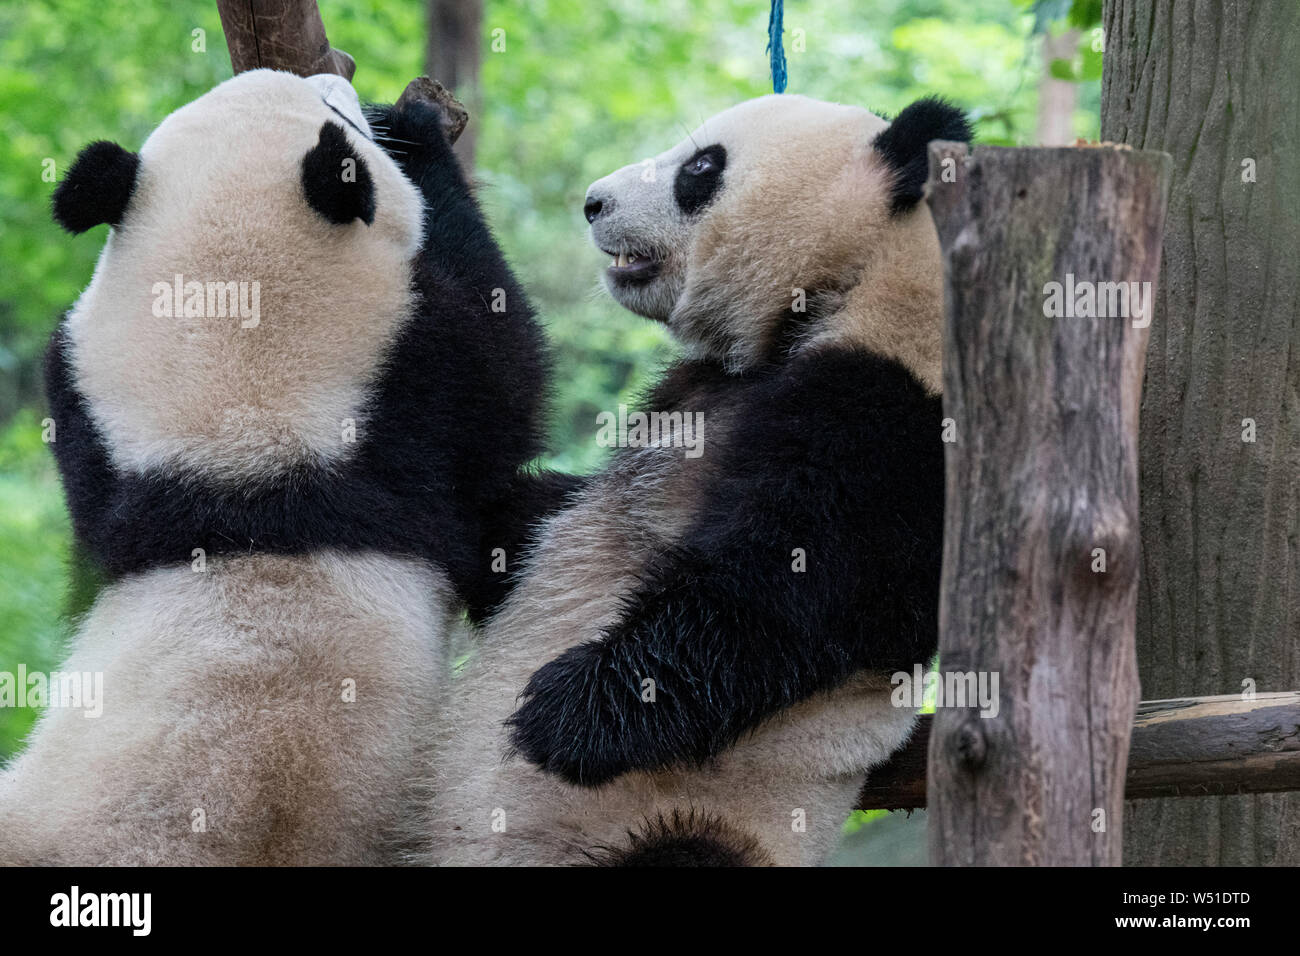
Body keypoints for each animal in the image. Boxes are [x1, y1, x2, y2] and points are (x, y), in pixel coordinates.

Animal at [0, 69, 549, 864]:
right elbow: (509, 363)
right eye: (326, 107)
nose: (332, 79)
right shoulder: (422, 389)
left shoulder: (101, 453)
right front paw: (419, 132)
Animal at [429, 93, 969, 866]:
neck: (849, 281)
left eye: (700, 168)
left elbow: (784, 592)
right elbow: (534, 516)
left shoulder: (897, 420)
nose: (592, 202)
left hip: (694, 826)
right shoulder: (689, 395)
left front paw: (561, 710)